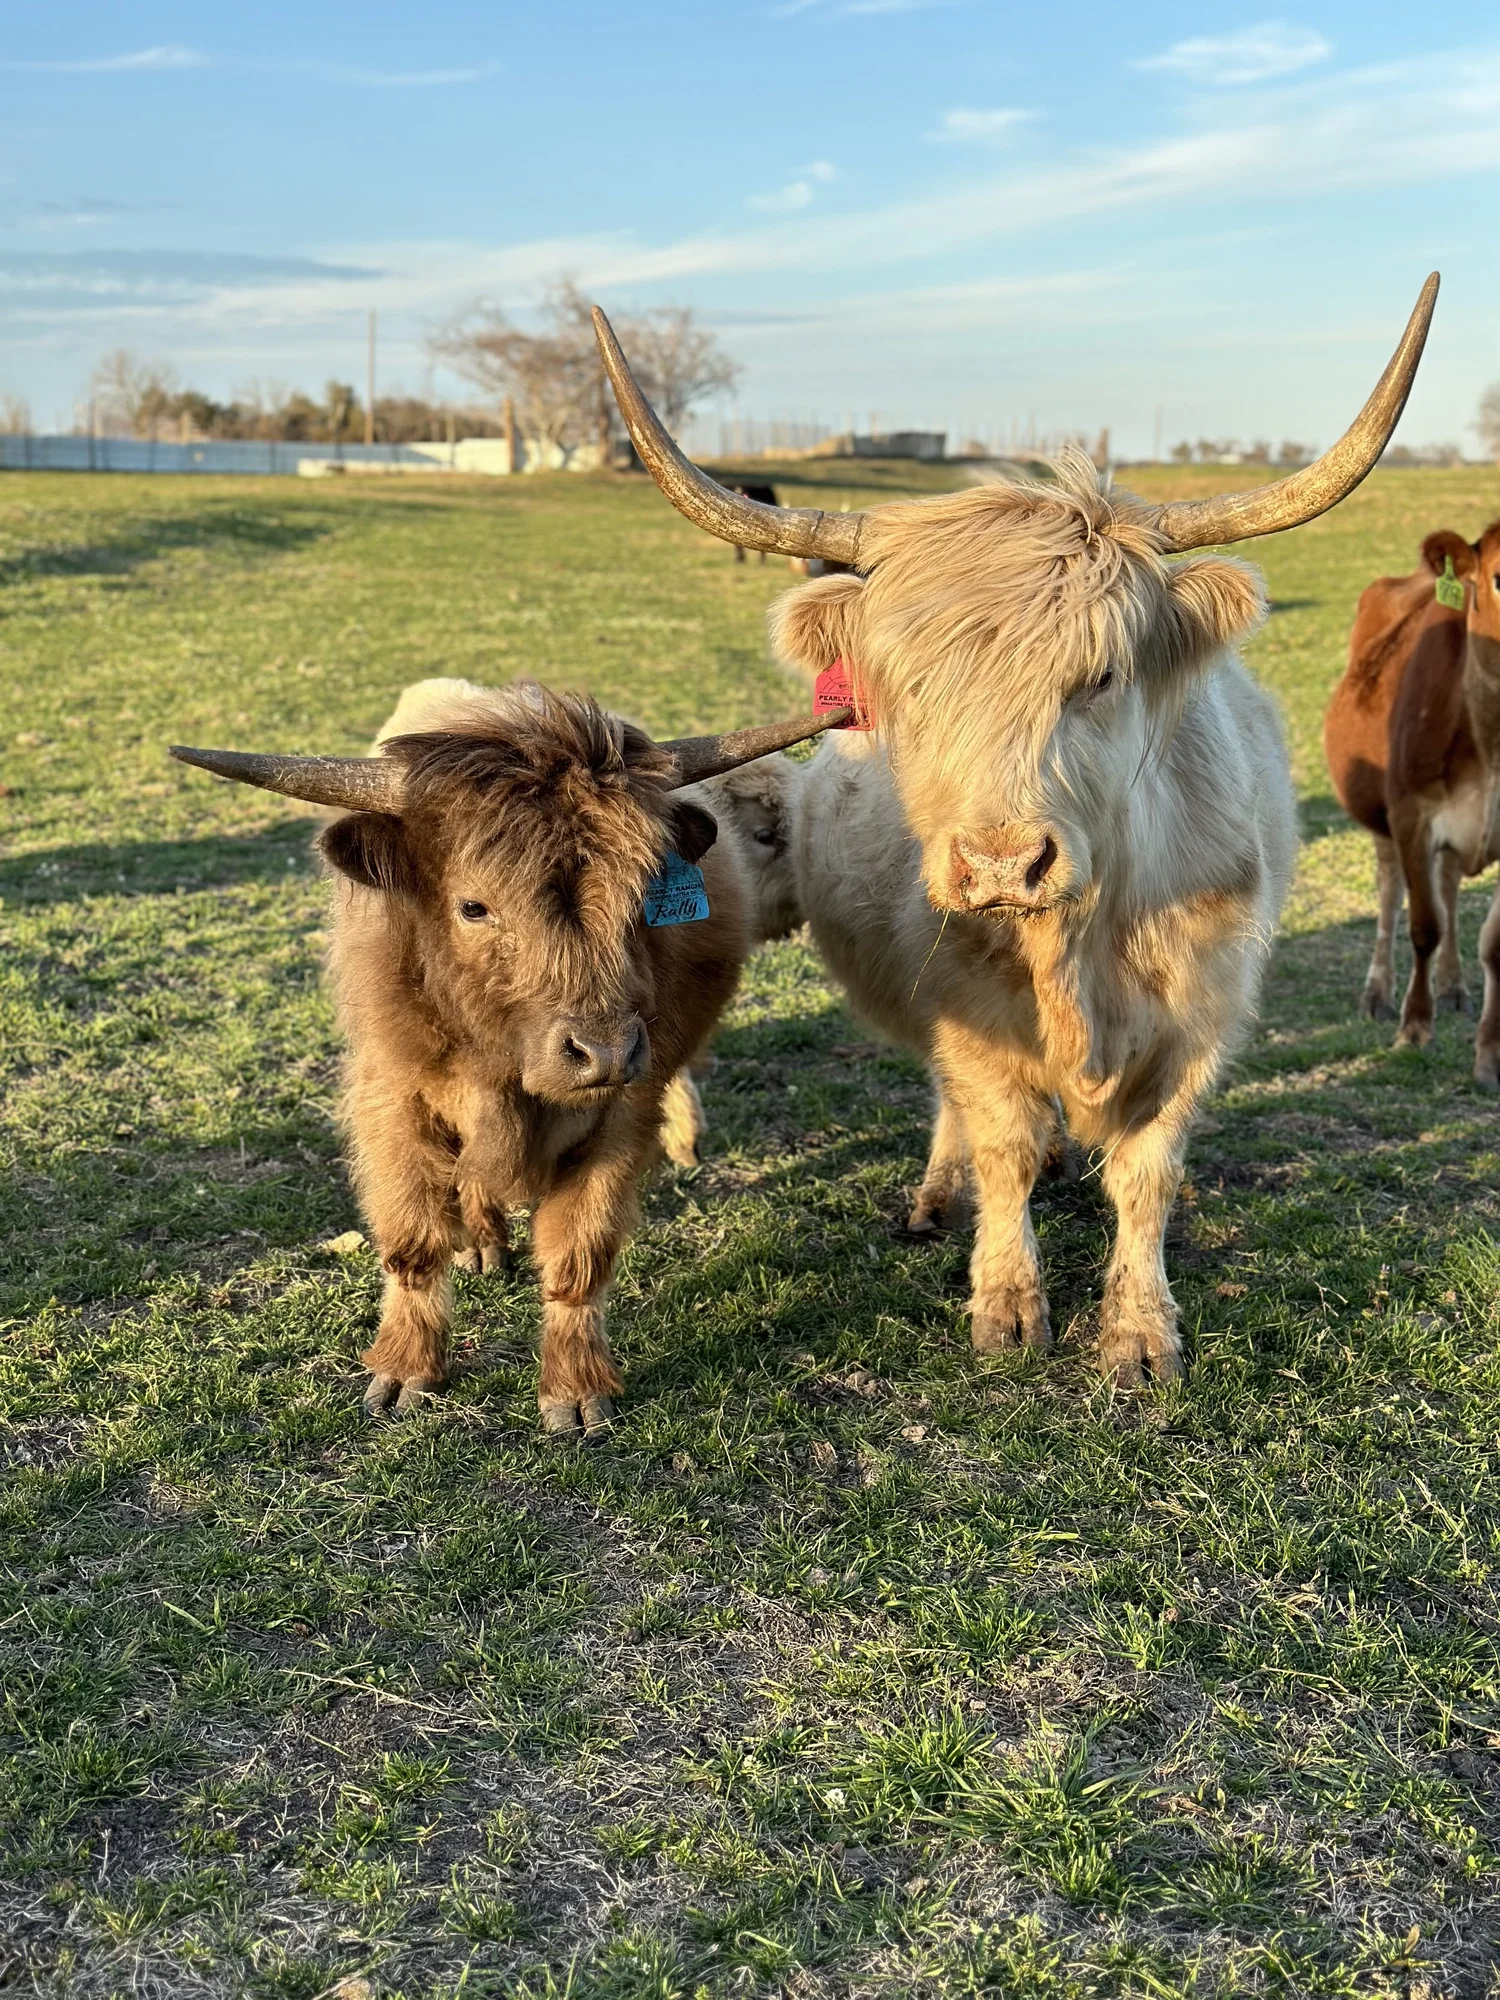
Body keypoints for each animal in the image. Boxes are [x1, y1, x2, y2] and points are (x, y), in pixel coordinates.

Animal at [169, 684, 847, 1435]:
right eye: (473, 906)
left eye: (646, 896)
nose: (603, 1052)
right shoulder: (391, 1096)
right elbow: (412, 1240)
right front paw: (404, 1371)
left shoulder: (619, 1119)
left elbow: (581, 1251)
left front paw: (575, 1388)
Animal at [593, 276, 1437, 1384]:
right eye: (906, 686)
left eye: (1102, 674)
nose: (1001, 863)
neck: (1082, 941)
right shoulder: (966, 1007)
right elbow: (1005, 1146)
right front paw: (1005, 1302)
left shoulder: (1202, 1018)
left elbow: (1149, 1172)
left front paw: (1141, 1333)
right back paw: (939, 1195)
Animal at [1323, 522, 1500, 1083]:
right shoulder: (1409, 817)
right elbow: (1424, 924)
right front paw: (1414, 1028)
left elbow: (1493, 941)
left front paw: (1488, 1055)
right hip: (1381, 818)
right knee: (1390, 891)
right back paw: (1377, 993)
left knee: (1448, 885)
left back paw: (1453, 985)